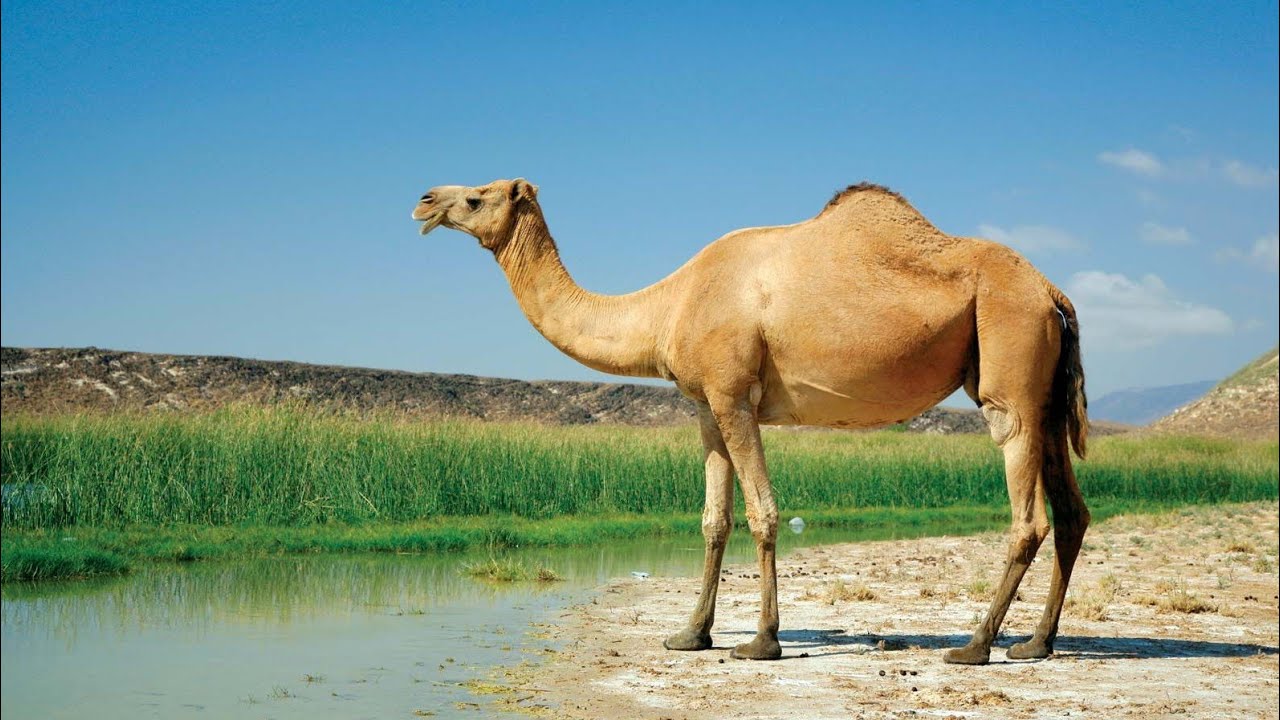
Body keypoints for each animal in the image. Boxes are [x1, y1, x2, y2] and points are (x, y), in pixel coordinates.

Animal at [411, 178, 1090, 665]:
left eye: (475, 196)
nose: (424, 200)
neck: (668, 306)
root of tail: (1053, 291)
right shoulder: (705, 406)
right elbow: (715, 520)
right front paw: (691, 634)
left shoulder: (734, 394)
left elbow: (764, 512)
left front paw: (762, 641)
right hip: (1046, 391)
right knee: (1071, 511)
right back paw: (1036, 643)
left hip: (1010, 361)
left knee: (1027, 512)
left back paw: (975, 647)